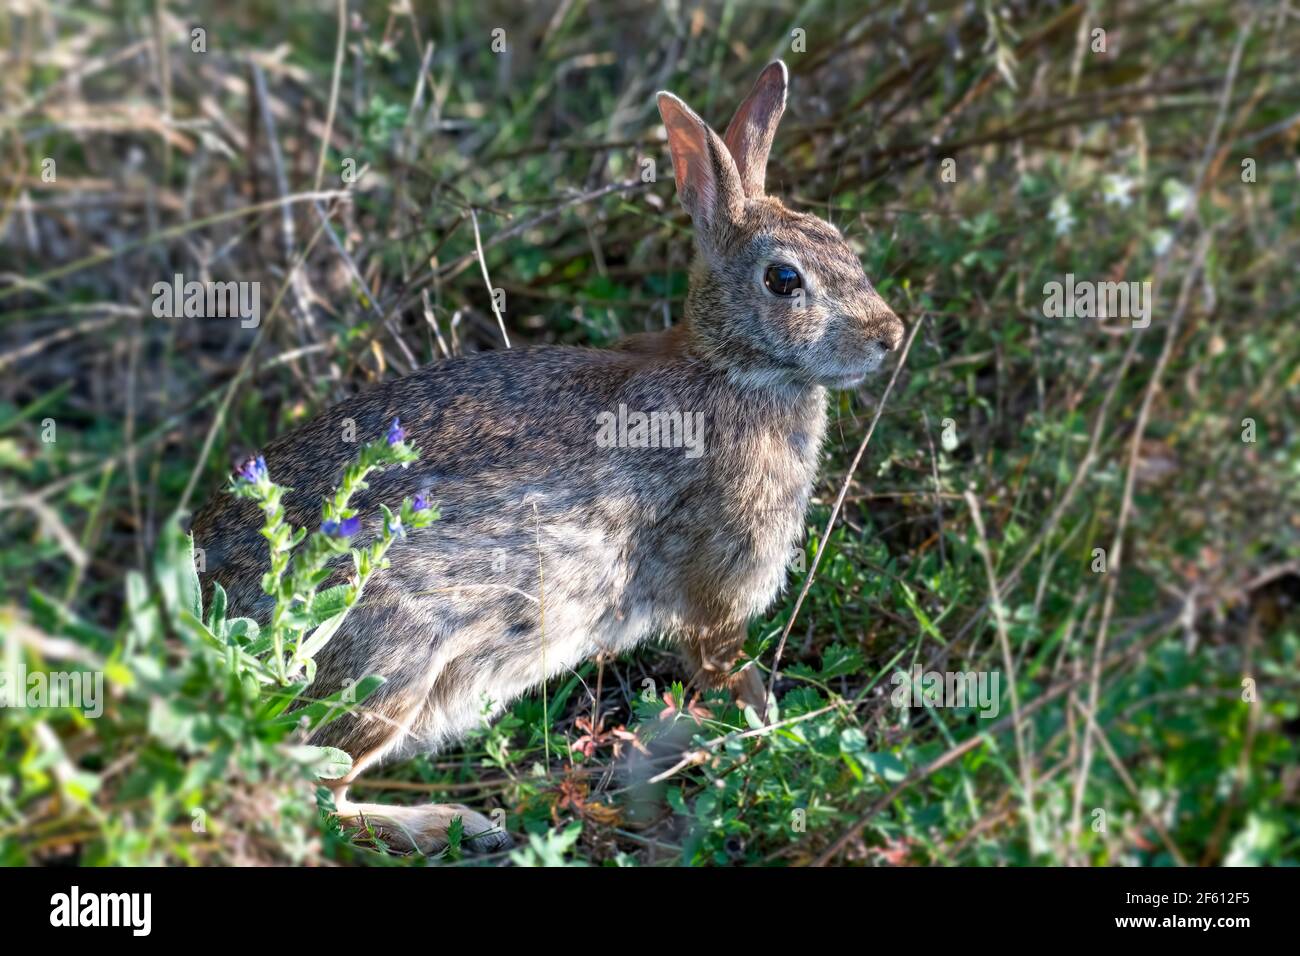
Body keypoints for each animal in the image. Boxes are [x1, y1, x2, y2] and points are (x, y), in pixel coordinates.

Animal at [190, 60, 904, 855]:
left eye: (839, 240)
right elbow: (729, 672)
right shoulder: (717, 596)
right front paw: (775, 730)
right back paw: (453, 823)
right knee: (316, 790)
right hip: (390, 666)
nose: (889, 335)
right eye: (785, 280)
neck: (730, 369)